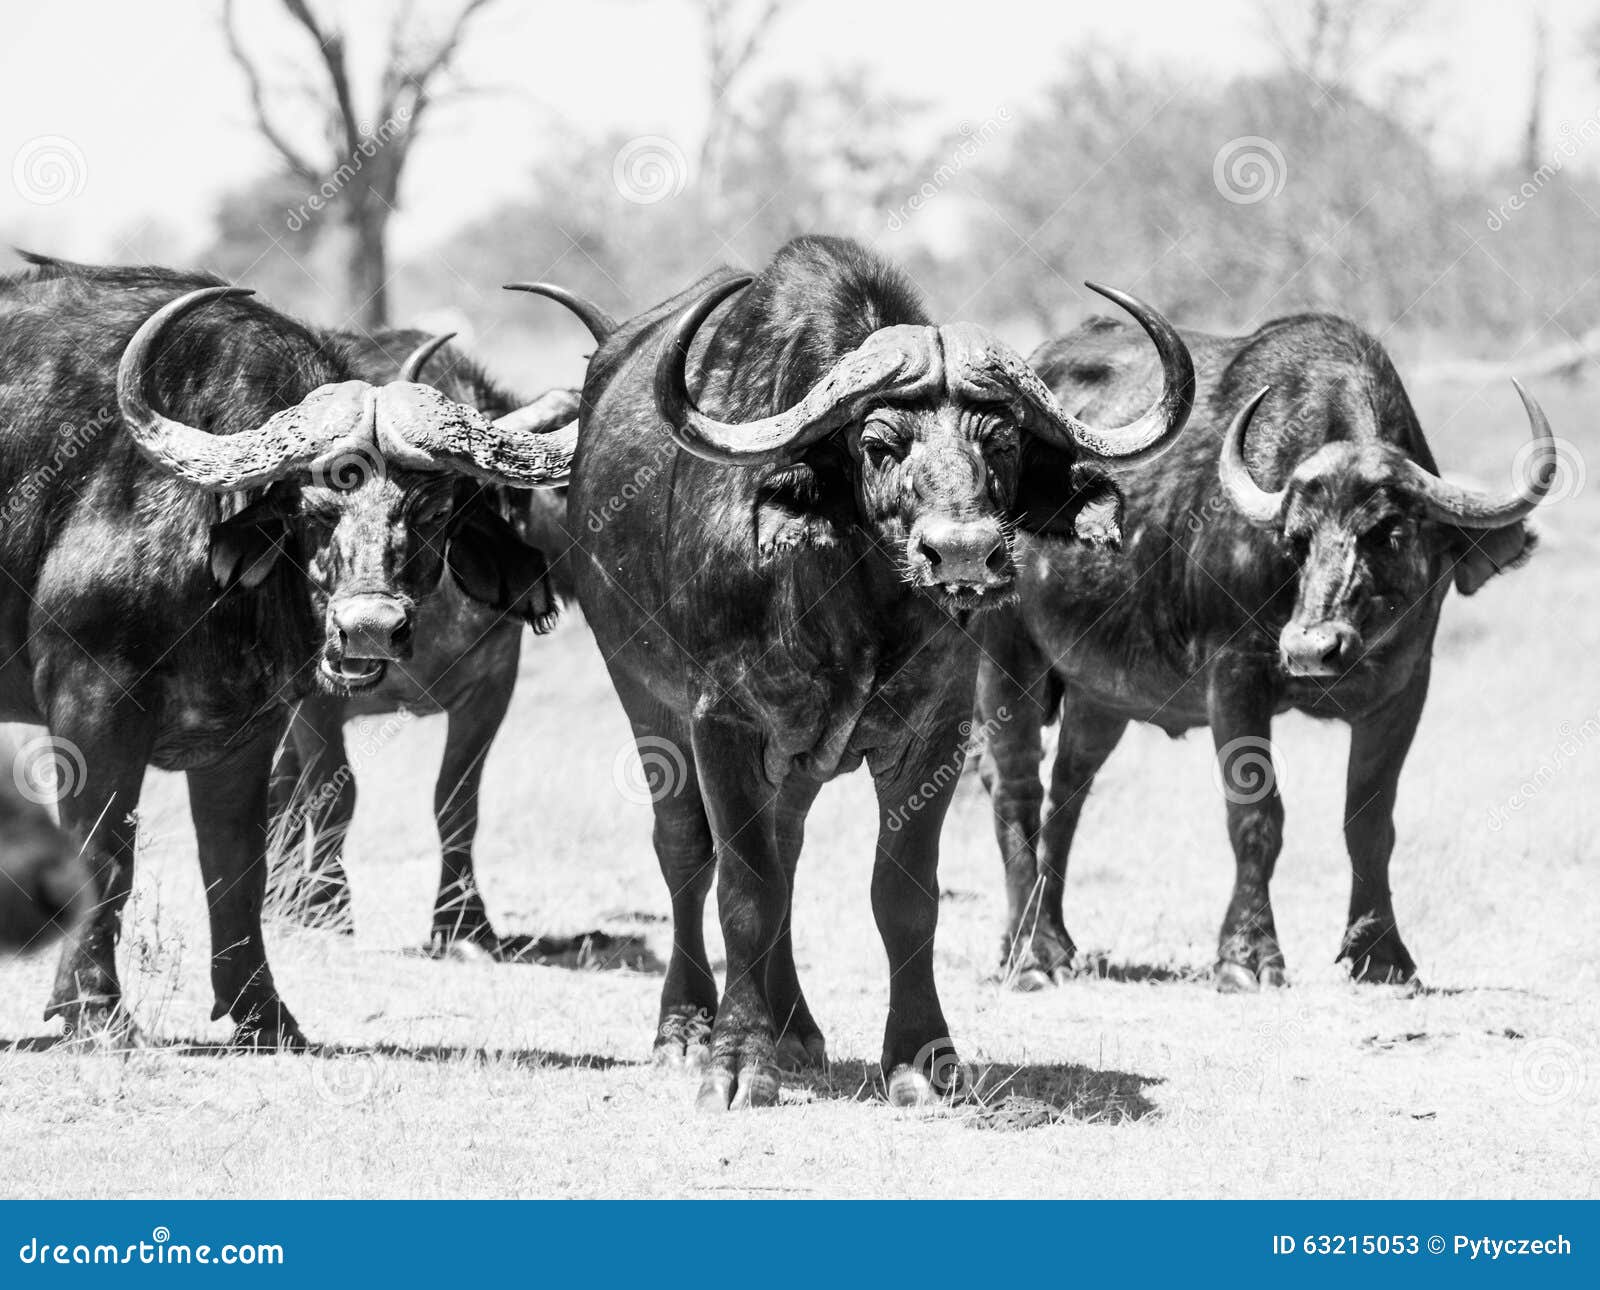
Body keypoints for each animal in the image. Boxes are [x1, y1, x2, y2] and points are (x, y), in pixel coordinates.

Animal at [0, 257, 576, 1044]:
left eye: (432, 509)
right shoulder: (92, 698)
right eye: (313, 505)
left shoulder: (253, 725)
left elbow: (239, 865)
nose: (369, 628)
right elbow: (103, 854)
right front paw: (92, 1010)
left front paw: (264, 1013)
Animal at [521, 235, 1194, 1108]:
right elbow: (744, 890)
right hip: (642, 698)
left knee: (786, 850)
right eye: (877, 445)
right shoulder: (722, 724)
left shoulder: (934, 734)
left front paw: (922, 1057)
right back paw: (687, 1029)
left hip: (797, 763)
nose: (964, 553)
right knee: (687, 853)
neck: (851, 598)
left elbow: (901, 897)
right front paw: (735, 1059)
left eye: (1002, 443)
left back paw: (796, 1030)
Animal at [978, 312, 1554, 991]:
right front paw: (1247, 955)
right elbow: (1256, 818)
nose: (1310, 649)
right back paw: (1028, 955)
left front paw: (1381, 954)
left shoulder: (1404, 689)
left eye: (1391, 533)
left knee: (1067, 793)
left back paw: (1052, 941)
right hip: (1005, 657)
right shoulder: (1235, 680)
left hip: (1101, 697)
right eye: (1296, 539)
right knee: (1014, 788)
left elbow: (1369, 823)